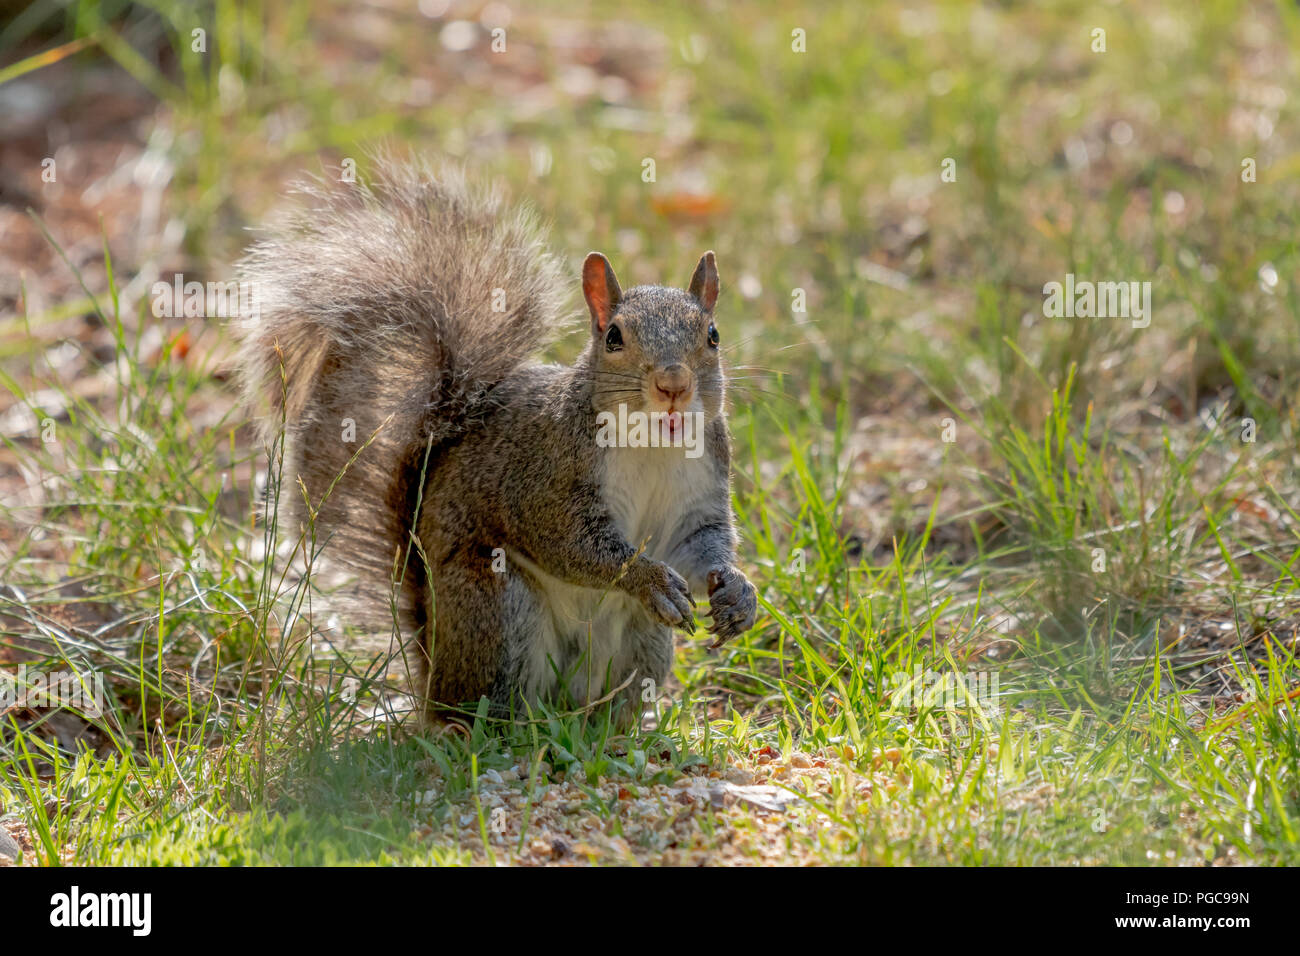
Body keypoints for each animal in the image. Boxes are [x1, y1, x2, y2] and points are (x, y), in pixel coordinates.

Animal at [235, 156, 758, 723]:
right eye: (614, 337)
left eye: (713, 335)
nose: (673, 384)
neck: (653, 445)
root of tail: (432, 667)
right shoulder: (545, 481)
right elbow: (573, 546)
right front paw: (647, 578)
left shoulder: (703, 483)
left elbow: (702, 542)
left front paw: (738, 592)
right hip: (496, 606)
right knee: (486, 704)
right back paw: (486, 727)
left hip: (644, 640)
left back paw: (615, 727)